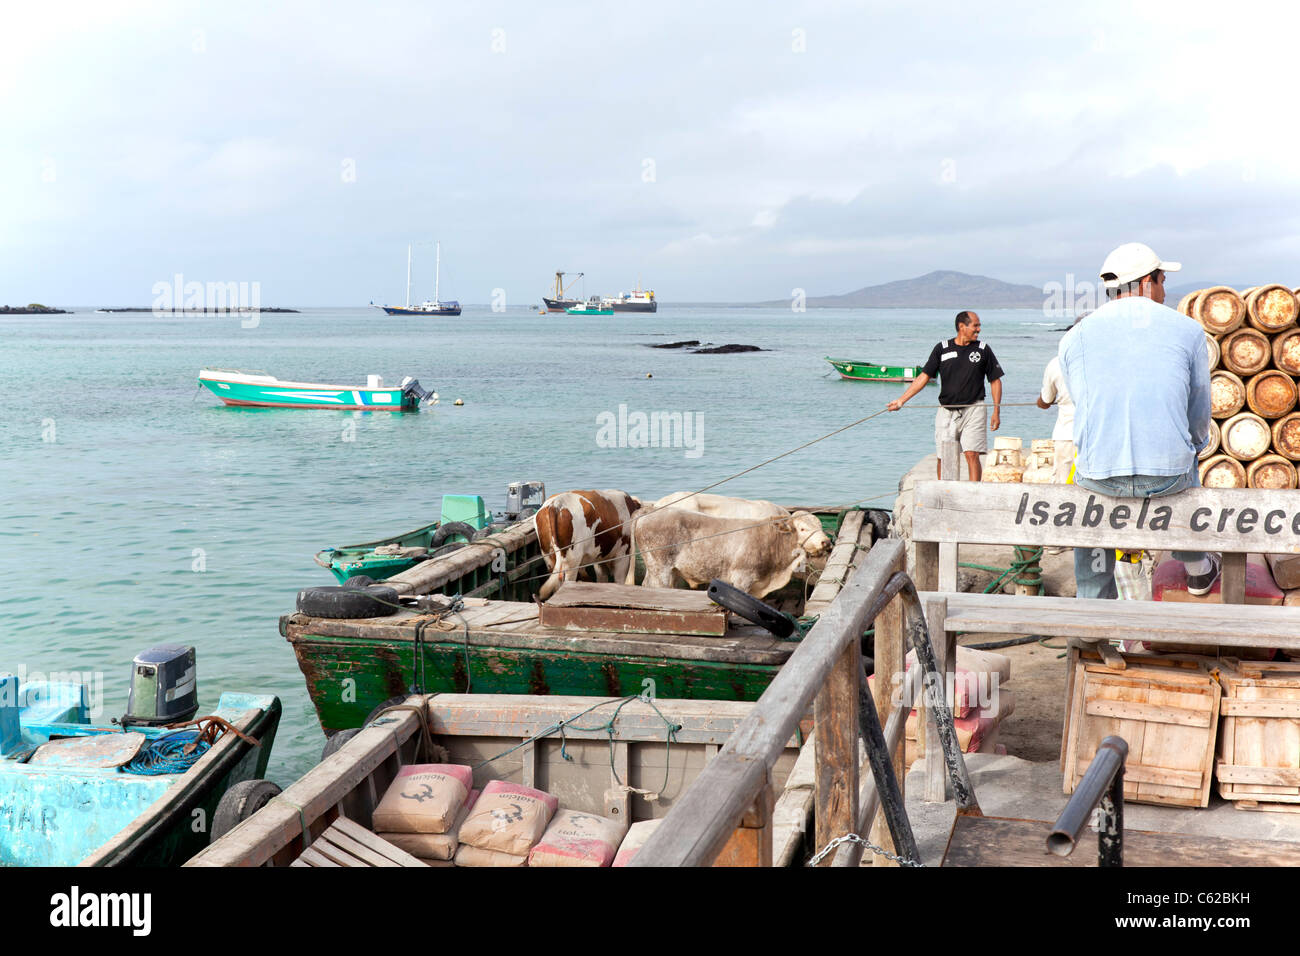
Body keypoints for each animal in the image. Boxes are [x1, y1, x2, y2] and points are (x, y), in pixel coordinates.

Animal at [626, 506, 832, 600]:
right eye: (803, 528)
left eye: (820, 525)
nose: (826, 542)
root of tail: (650, 510)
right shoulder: (743, 579)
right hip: (660, 569)